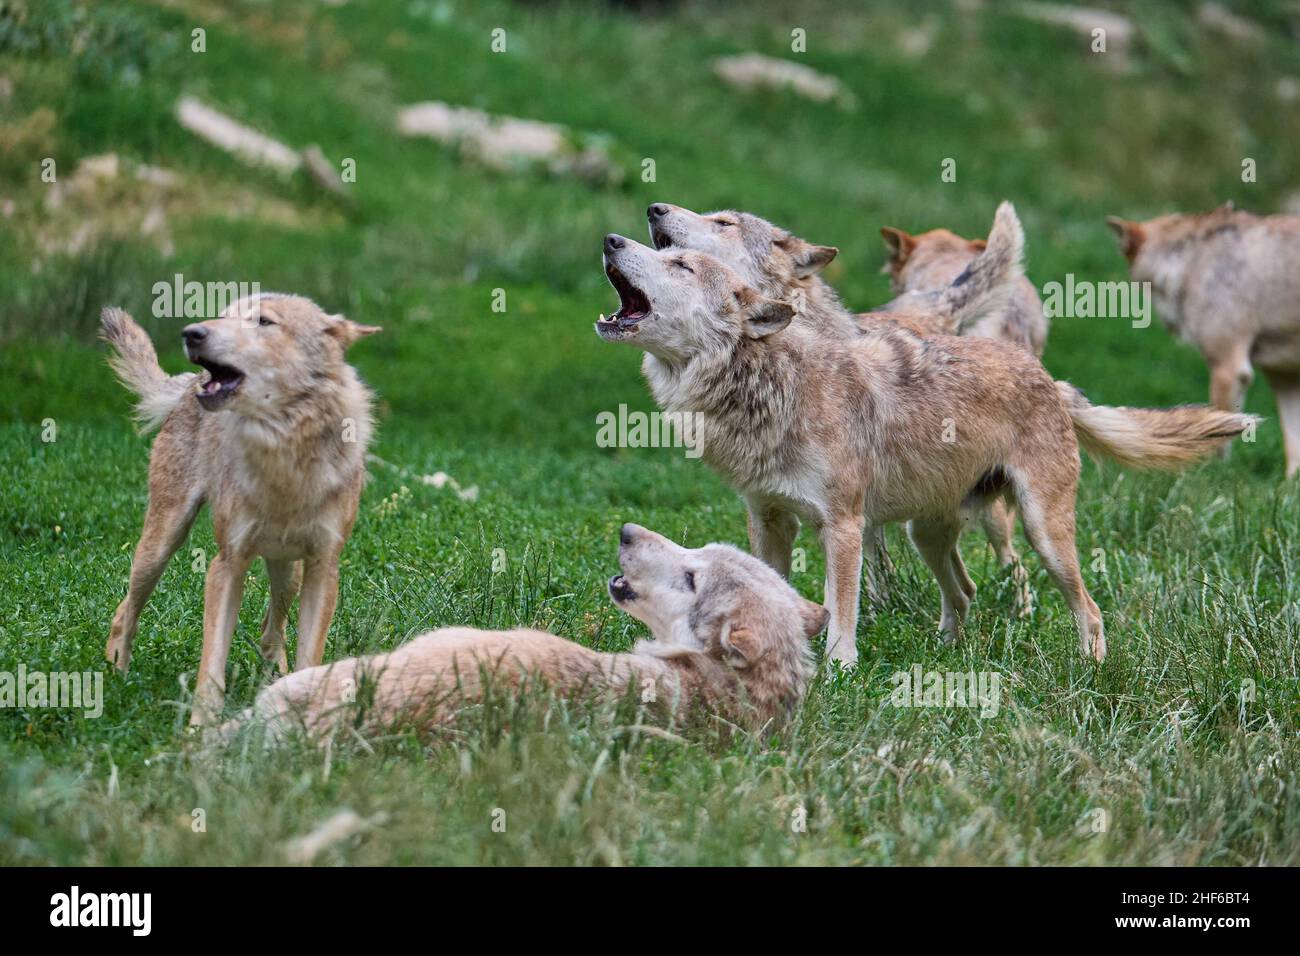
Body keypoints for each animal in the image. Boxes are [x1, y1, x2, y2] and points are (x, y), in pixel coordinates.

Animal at [101, 295, 380, 725]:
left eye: (263, 321)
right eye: (224, 314)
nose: (191, 332)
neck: (284, 450)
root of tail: (188, 383)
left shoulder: (323, 569)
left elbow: (310, 659)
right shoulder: (226, 564)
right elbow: (211, 667)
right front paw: (199, 733)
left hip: (289, 573)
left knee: (270, 629)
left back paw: (275, 680)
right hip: (160, 545)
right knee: (124, 610)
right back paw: (118, 674)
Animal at [596, 233, 1256, 665]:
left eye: (680, 263)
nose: (610, 238)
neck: (772, 387)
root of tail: (1049, 378)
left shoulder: (843, 525)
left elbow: (840, 610)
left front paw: (841, 671)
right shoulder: (769, 519)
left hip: (1042, 534)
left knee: (1087, 608)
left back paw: (1090, 672)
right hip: (926, 534)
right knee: (963, 593)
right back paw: (944, 655)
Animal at [1108, 202, 1300, 476]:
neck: (1189, 260)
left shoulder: (1228, 369)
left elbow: (1218, 438)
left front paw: (1208, 475)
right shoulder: (1284, 378)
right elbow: (1293, 452)